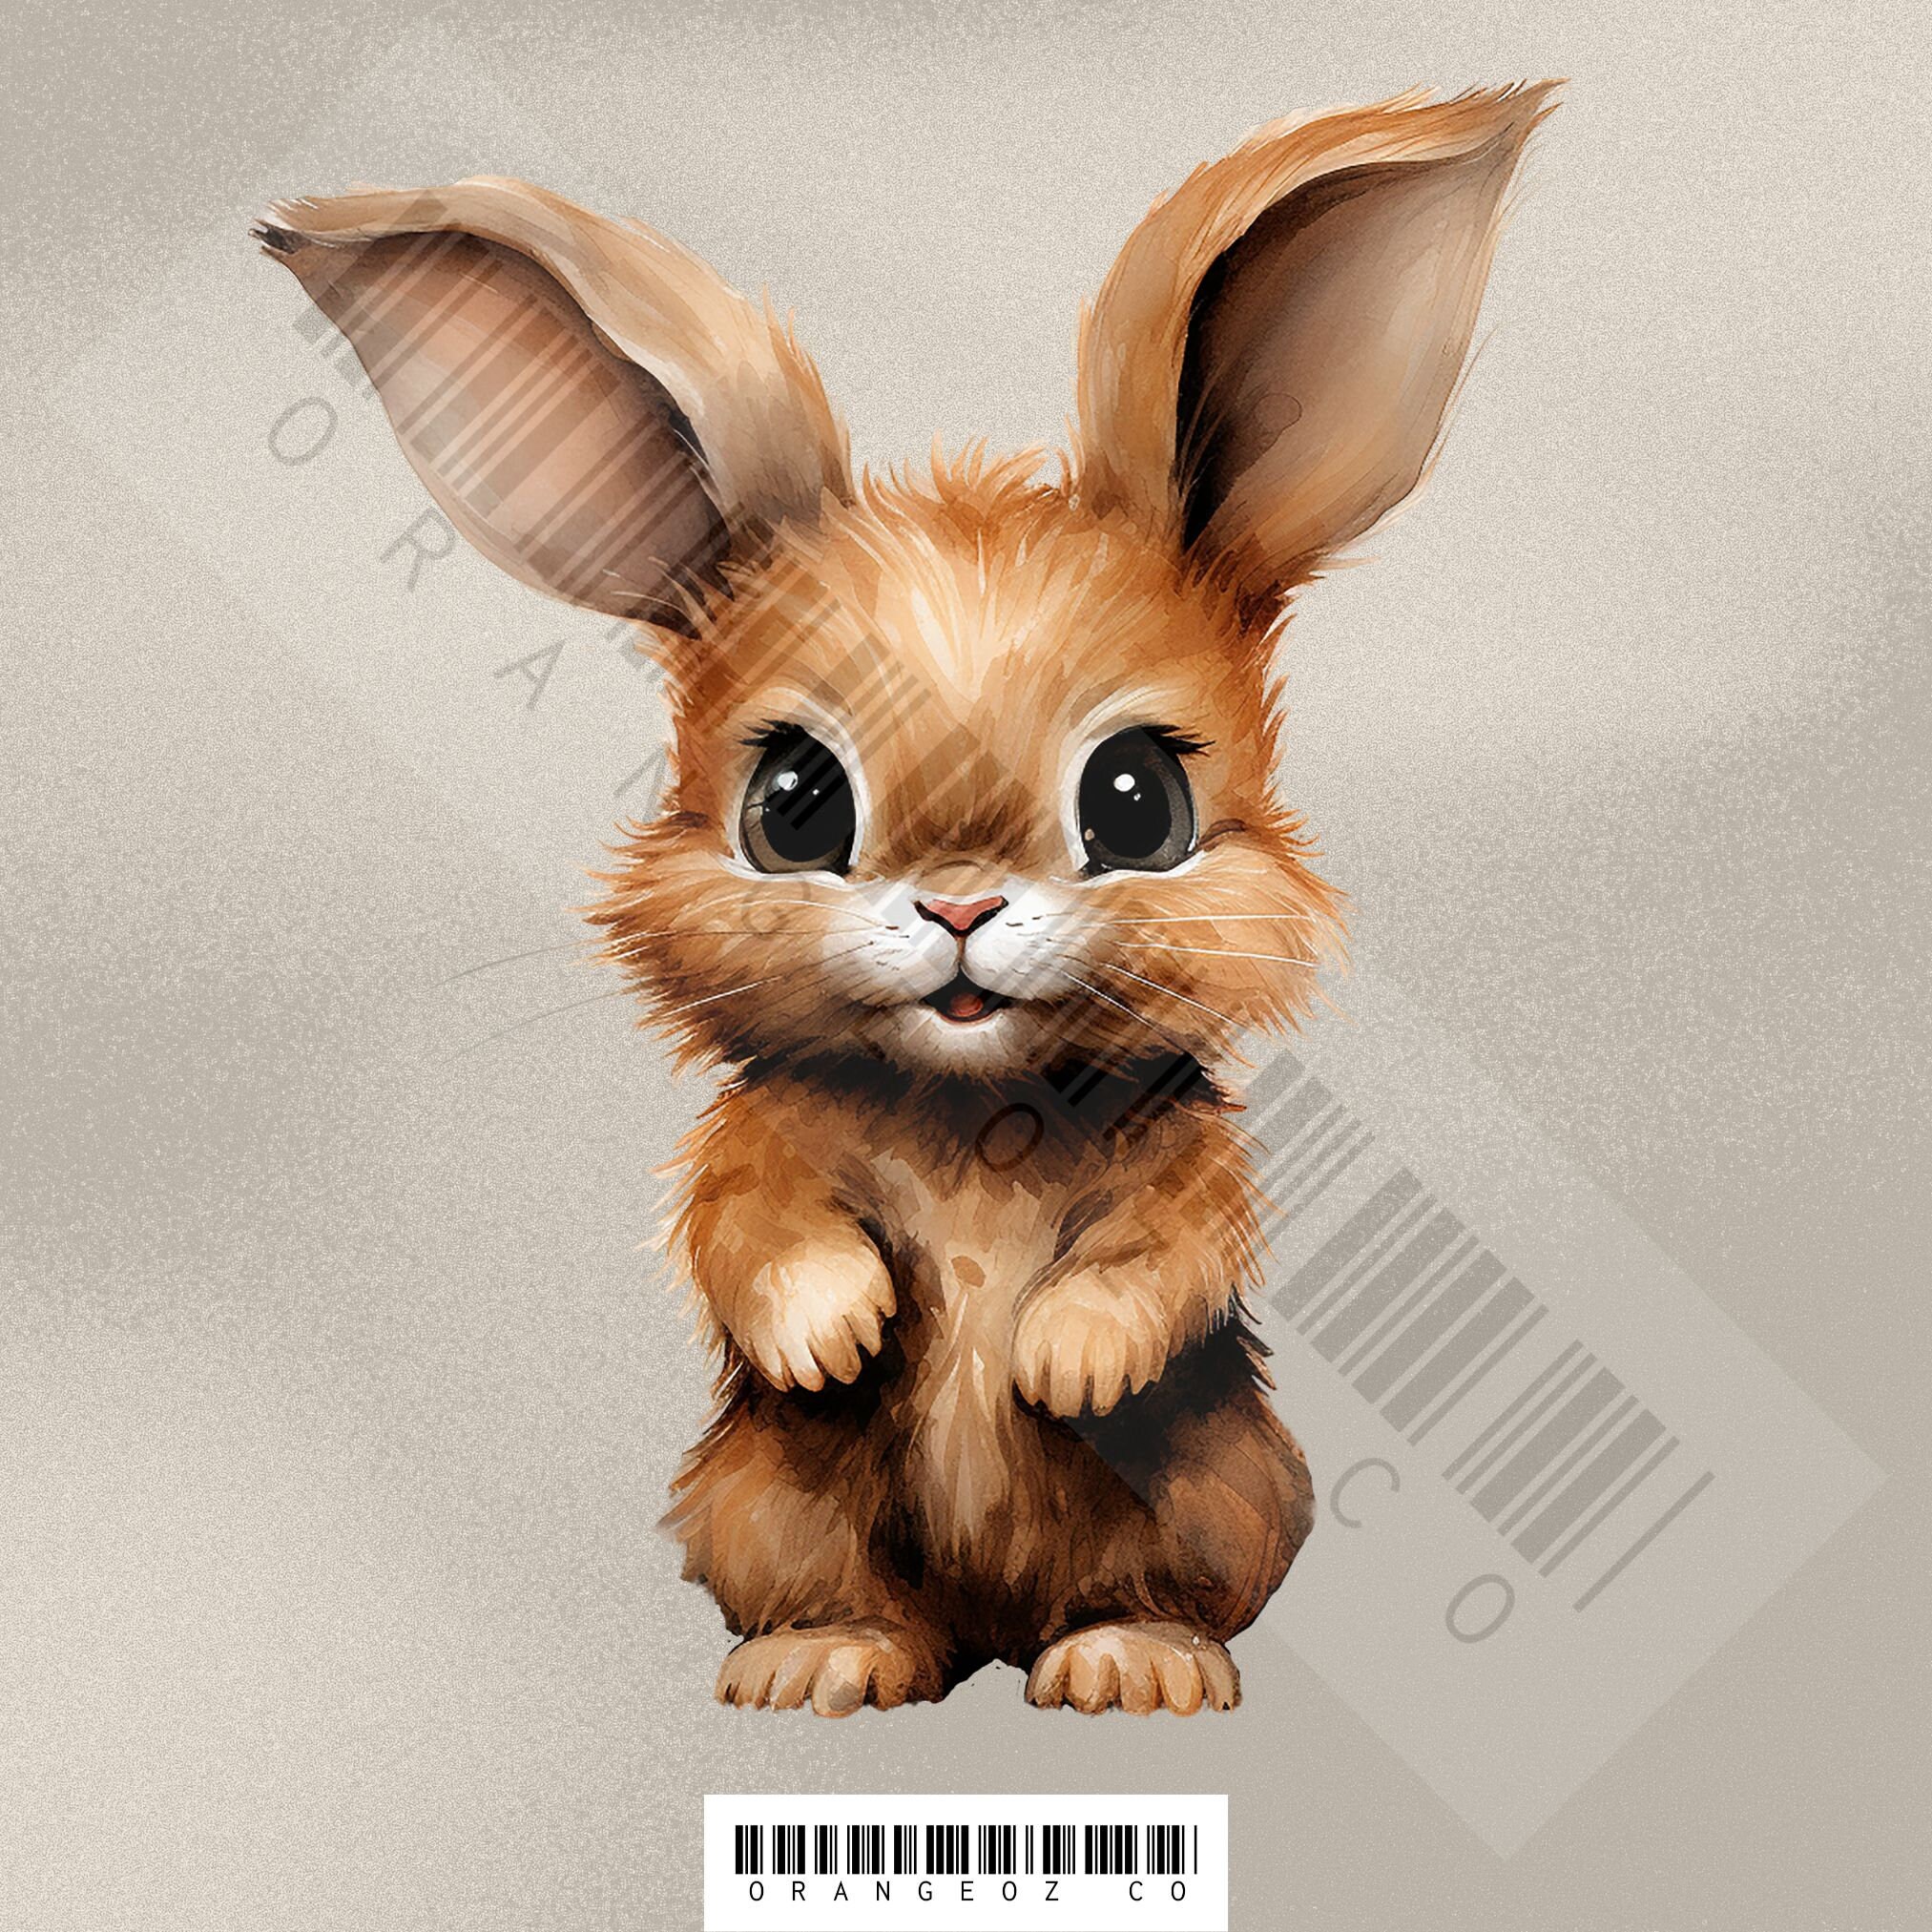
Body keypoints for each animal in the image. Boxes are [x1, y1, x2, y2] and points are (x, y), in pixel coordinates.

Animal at [258, 83, 1555, 1715]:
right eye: (794, 802)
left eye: (1137, 799)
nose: (958, 911)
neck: (966, 1113)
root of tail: (987, 1636)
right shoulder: (751, 1147)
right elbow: (749, 1234)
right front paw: (839, 1334)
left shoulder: (1188, 1164)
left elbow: (1165, 1259)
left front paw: (1061, 1360)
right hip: (761, 1501)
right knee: (838, 1594)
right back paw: (823, 1664)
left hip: (1222, 1490)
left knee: (1150, 1590)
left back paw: (1129, 1664)